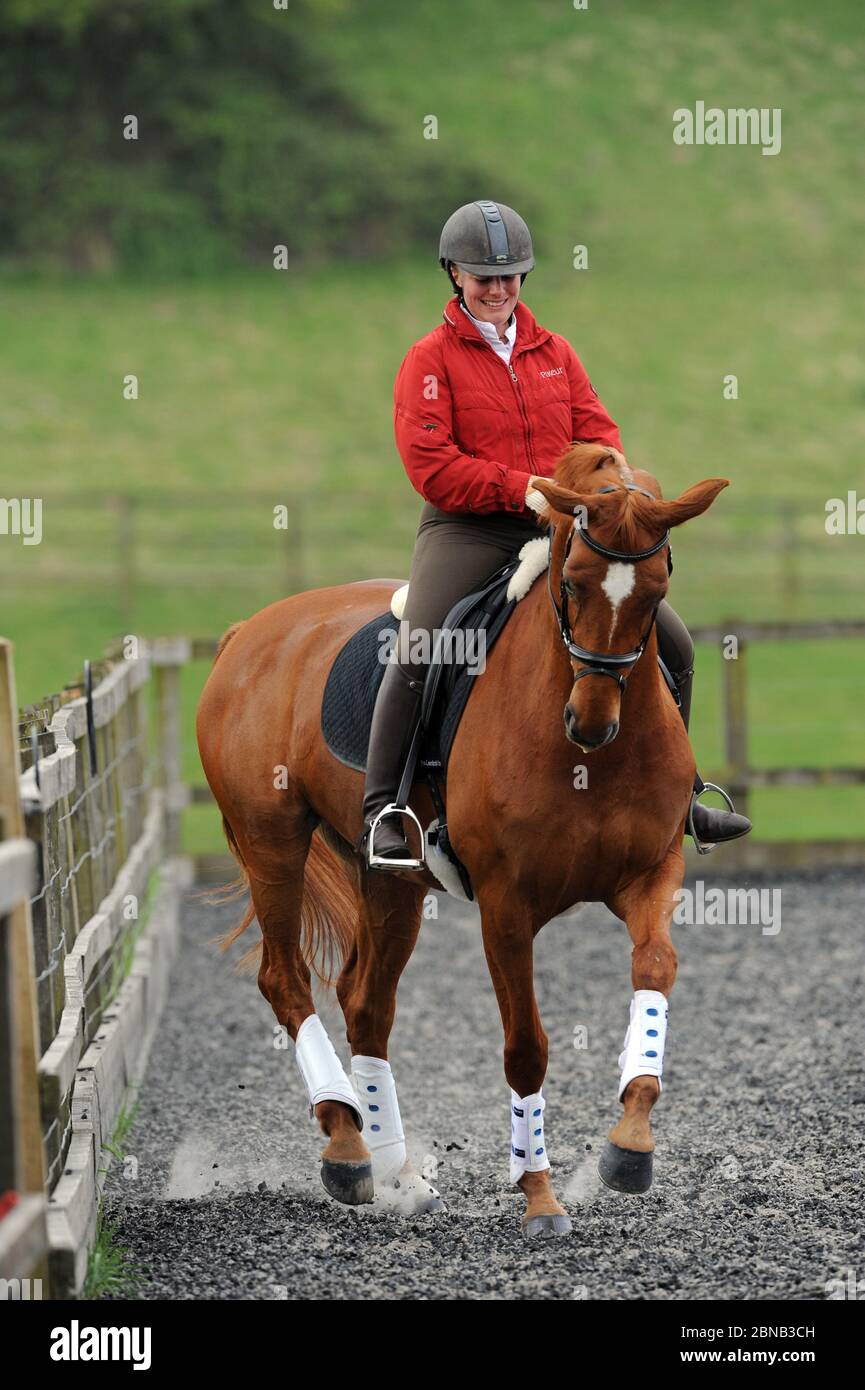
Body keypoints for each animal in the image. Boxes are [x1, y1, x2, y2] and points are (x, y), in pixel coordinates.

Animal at [196, 442, 728, 1236]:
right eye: (574, 581)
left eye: (657, 586)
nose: (592, 722)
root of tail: (250, 632)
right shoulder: (506, 906)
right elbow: (525, 1047)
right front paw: (538, 1195)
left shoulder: (650, 874)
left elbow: (656, 971)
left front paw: (629, 1145)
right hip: (272, 844)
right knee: (286, 981)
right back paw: (347, 1149)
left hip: (387, 879)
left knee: (365, 1005)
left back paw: (398, 1175)